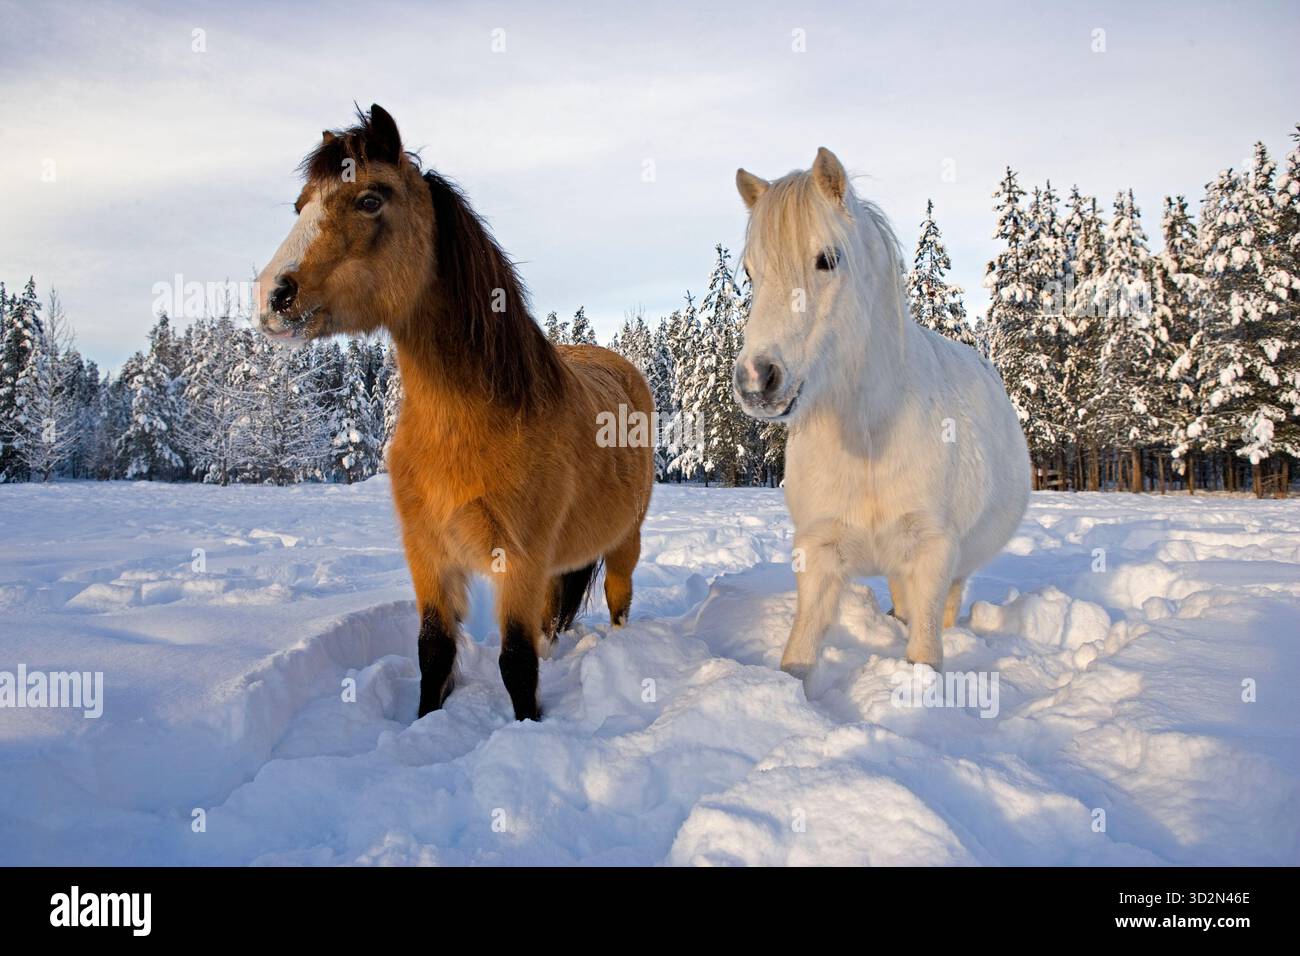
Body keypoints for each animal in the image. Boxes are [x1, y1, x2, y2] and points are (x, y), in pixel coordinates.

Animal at [253, 105, 655, 721]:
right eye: (301, 205)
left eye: (370, 199)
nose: (273, 296)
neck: (471, 424)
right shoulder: (429, 557)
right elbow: (434, 652)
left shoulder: (518, 561)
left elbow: (516, 663)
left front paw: (526, 726)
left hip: (623, 542)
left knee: (617, 602)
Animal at [731, 148, 1030, 675]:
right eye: (750, 272)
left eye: (828, 259)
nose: (755, 379)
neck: (870, 439)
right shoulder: (818, 553)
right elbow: (799, 656)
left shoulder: (932, 553)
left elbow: (926, 650)